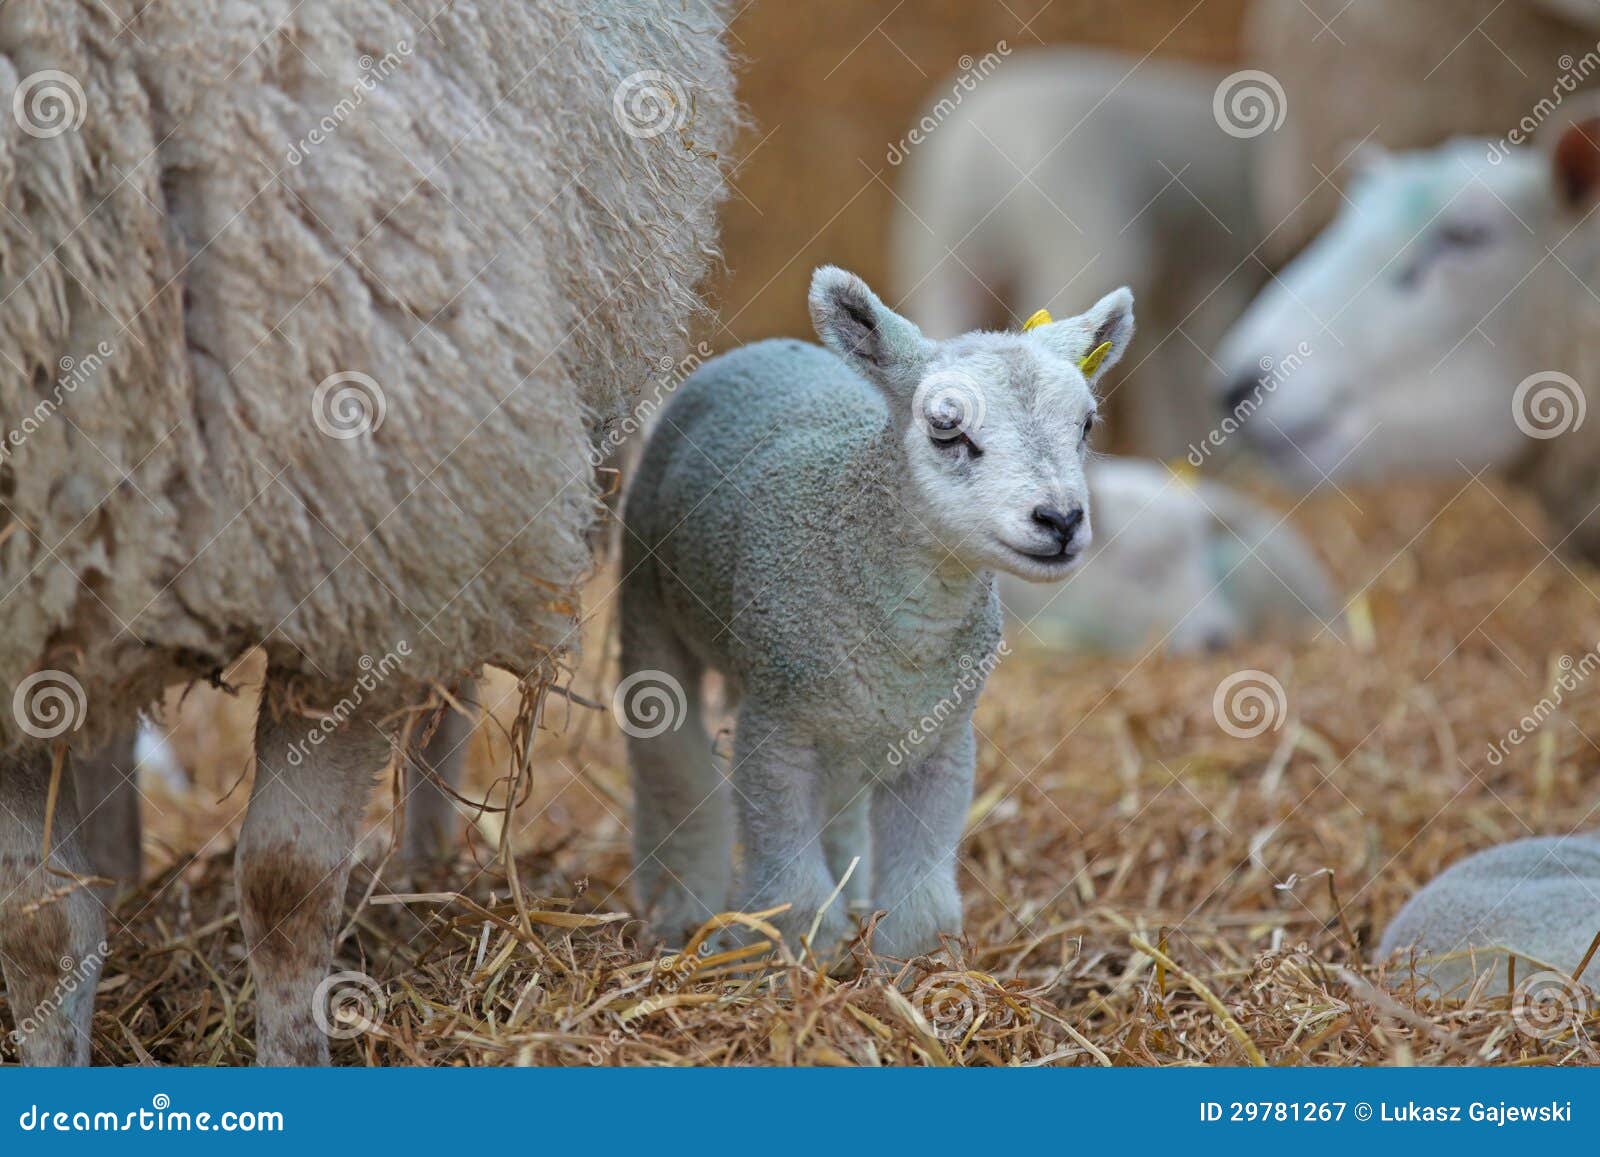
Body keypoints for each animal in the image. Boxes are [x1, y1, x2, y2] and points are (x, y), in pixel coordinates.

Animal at [618, 266, 1134, 958]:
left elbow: (922, 891)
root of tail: (762, 347)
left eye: (1086, 425)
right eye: (946, 429)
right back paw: (676, 908)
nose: (1061, 520)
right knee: (670, 766)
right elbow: (786, 871)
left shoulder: (940, 737)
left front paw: (905, 961)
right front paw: (803, 946)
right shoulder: (776, 723)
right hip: (647, 601)